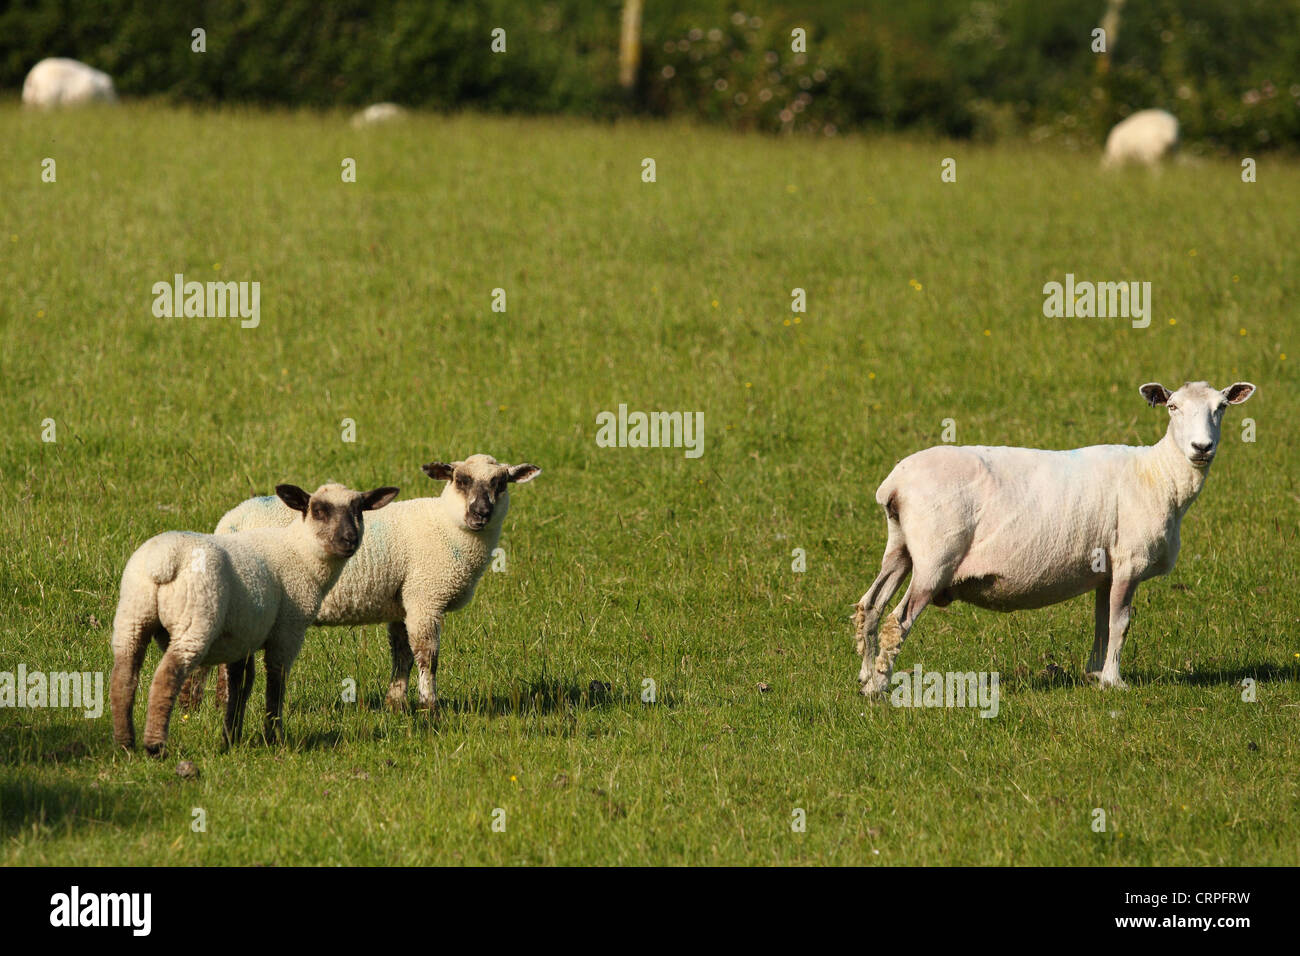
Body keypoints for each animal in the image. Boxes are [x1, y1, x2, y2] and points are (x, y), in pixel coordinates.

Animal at [110, 483, 399, 756]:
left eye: (359, 510)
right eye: (318, 511)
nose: (350, 539)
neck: (300, 554)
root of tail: (162, 563)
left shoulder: (242, 637)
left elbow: (241, 685)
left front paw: (231, 737)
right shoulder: (287, 631)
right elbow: (275, 683)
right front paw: (273, 736)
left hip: (132, 616)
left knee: (123, 677)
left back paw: (125, 744)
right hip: (195, 619)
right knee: (166, 677)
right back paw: (154, 746)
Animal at [182, 454, 541, 712]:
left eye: (501, 483)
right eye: (460, 480)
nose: (481, 513)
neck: (446, 526)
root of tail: (228, 522)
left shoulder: (402, 601)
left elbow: (402, 653)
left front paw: (396, 704)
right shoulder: (425, 597)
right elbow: (427, 655)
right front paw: (430, 707)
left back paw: (209, 704)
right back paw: (199, 706)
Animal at [851, 381, 1255, 696]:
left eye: (1221, 408)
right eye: (1173, 407)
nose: (1201, 448)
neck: (1160, 474)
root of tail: (895, 483)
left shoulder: (1107, 569)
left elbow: (1102, 621)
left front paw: (1094, 675)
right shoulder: (1129, 561)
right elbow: (1121, 623)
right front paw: (1115, 682)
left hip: (902, 548)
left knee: (871, 607)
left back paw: (865, 678)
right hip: (936, 559)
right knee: (898, 621)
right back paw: (881, 687)